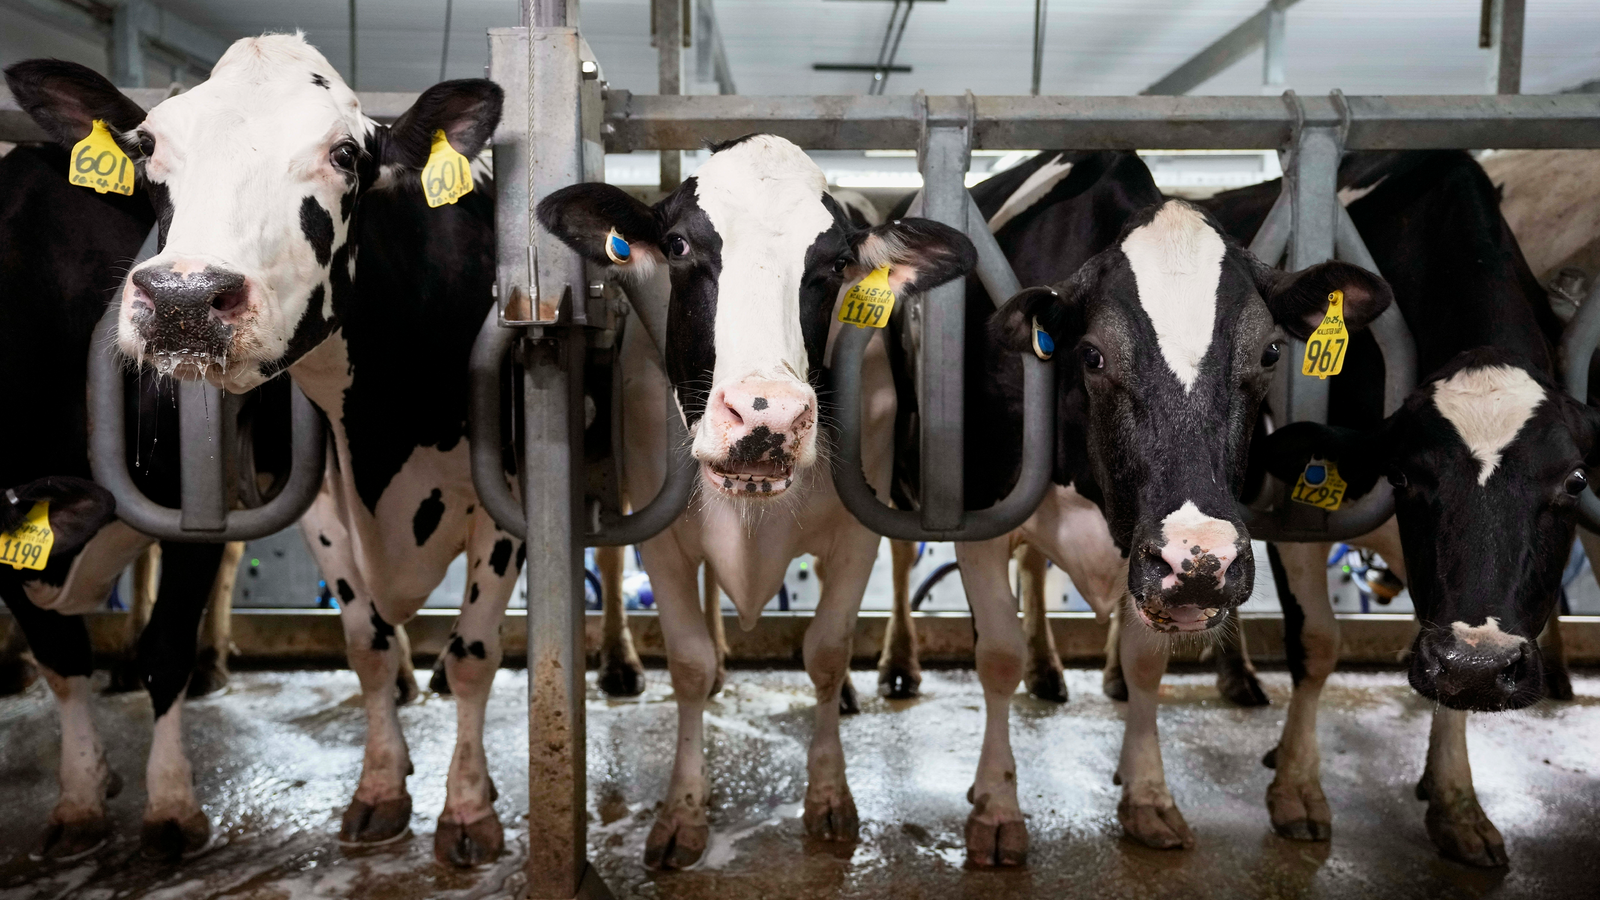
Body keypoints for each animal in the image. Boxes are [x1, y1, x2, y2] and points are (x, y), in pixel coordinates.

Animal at [11, 35, 513, 867]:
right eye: (149, 147)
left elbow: (474, 654)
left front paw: (468, 811)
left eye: (345, 154)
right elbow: (366, 644)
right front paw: (381, 788)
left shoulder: (506, 499)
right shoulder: (322, 499)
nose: (184, 298)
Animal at [537, 133, 977, 869]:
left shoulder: (856, 534)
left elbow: (826, 650)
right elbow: (687, 662)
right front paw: (683, 813)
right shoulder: (662, 538)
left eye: (834, 263)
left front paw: (829, 799)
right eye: (679, 245)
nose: (766, 415)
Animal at [879, 149, 1392, 863]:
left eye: (1269, 353)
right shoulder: (976, 509)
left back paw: (1049, 670)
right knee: (904, 558)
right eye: (1092, 355)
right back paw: (901, 666)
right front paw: (997, 807)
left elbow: (1145, 663)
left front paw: (1147, 794)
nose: (1202, 560)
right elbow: (996, 655)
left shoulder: (1150, 567)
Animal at [1208, 150, 1592, 867]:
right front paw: (1297, 790)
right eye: (1408, 475)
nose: (1481, 661)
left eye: (1575, 482)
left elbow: (1448, 667)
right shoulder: (1296, 509)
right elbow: (1317, 643)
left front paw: (1456, 801)